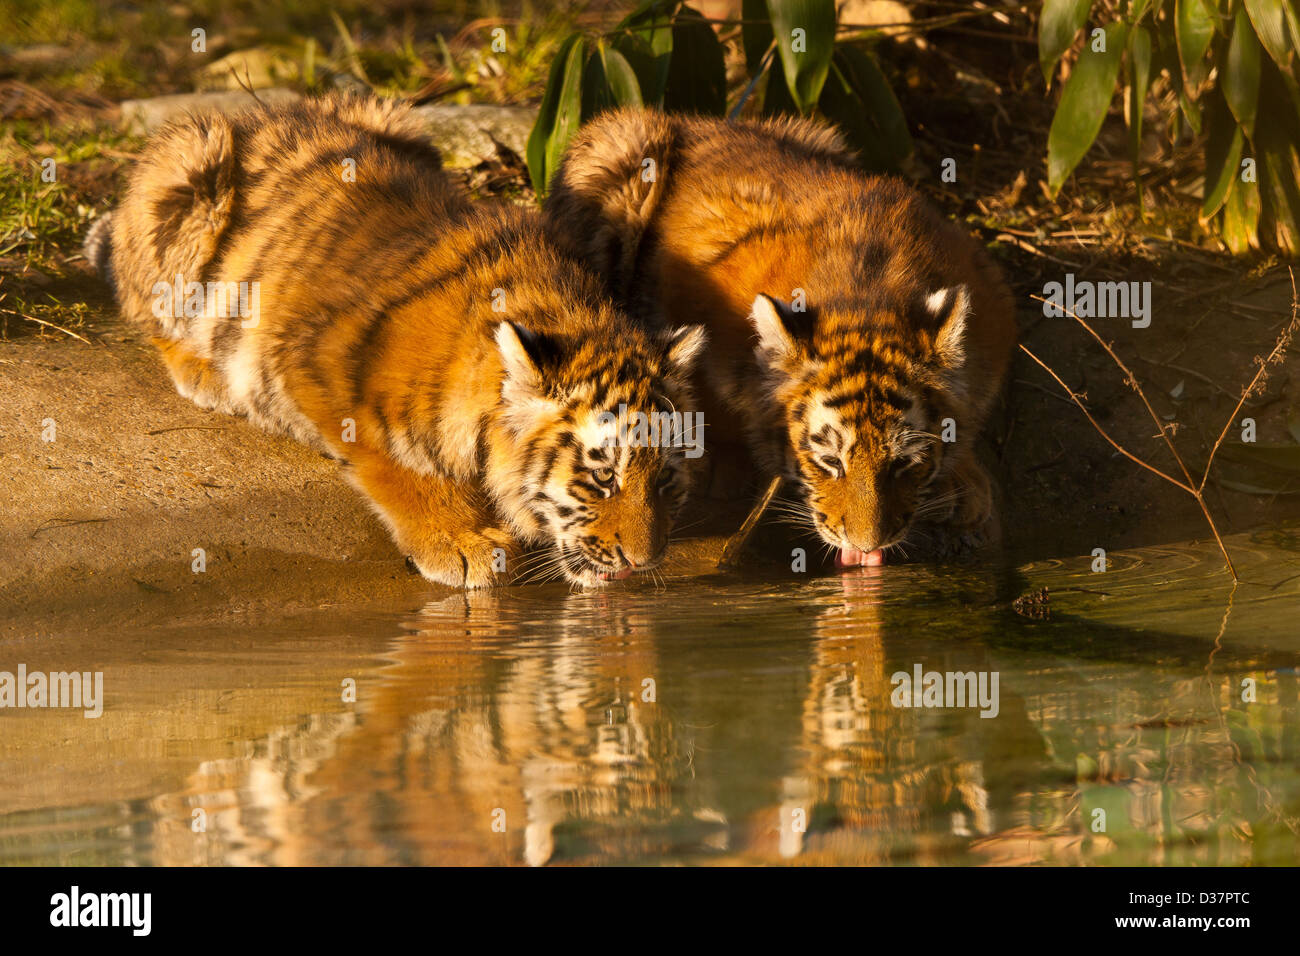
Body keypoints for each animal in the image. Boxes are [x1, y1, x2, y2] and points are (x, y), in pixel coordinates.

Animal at [85, 95, 705, 588]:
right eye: (603, 478)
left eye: (665, 480)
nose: (644, 562)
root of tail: (251, 116)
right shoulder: (313, 363)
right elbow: (399, 469)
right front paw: (461, 544)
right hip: (194, 160)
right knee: (150, 312)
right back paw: (204, 374)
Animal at [542, 108, 1016, 567]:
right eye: (830, 462)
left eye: (903, 463)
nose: (866, 547)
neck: (870, 296)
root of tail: (695, 120)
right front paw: (721, 464)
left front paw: (966, 484)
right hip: (624, 146)